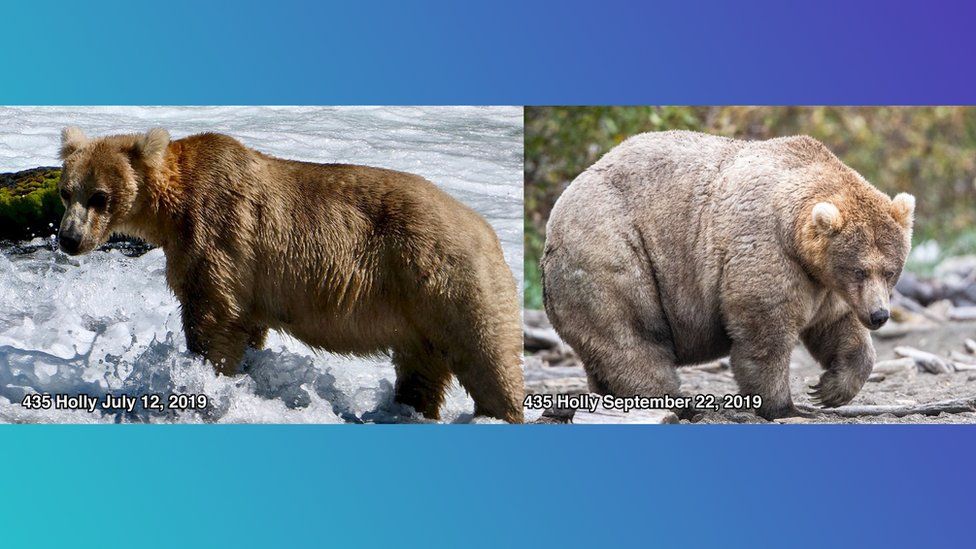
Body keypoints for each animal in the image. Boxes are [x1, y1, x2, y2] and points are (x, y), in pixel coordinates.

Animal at [56, 126, 524, 423]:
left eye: (100, 196)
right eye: (66, 191)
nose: (68, 239)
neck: (173, 207)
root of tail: (488, 232)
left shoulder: (216, 233)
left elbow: (212, 314)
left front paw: (201, 377)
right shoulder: (247, 276)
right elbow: (246, 324)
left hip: (445, 282)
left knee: (486, 356)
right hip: (419, 316)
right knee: (421, 371)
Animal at [541, 130, 914, 420]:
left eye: (890, 270)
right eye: (860, 270)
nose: (879, 315)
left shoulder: (824, 284)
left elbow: (837, 327)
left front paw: (829, 389)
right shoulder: (766, 250)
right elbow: (765, 332)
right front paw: (784, 405)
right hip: (612, 251)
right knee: (631, 335)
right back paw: (677, 403)